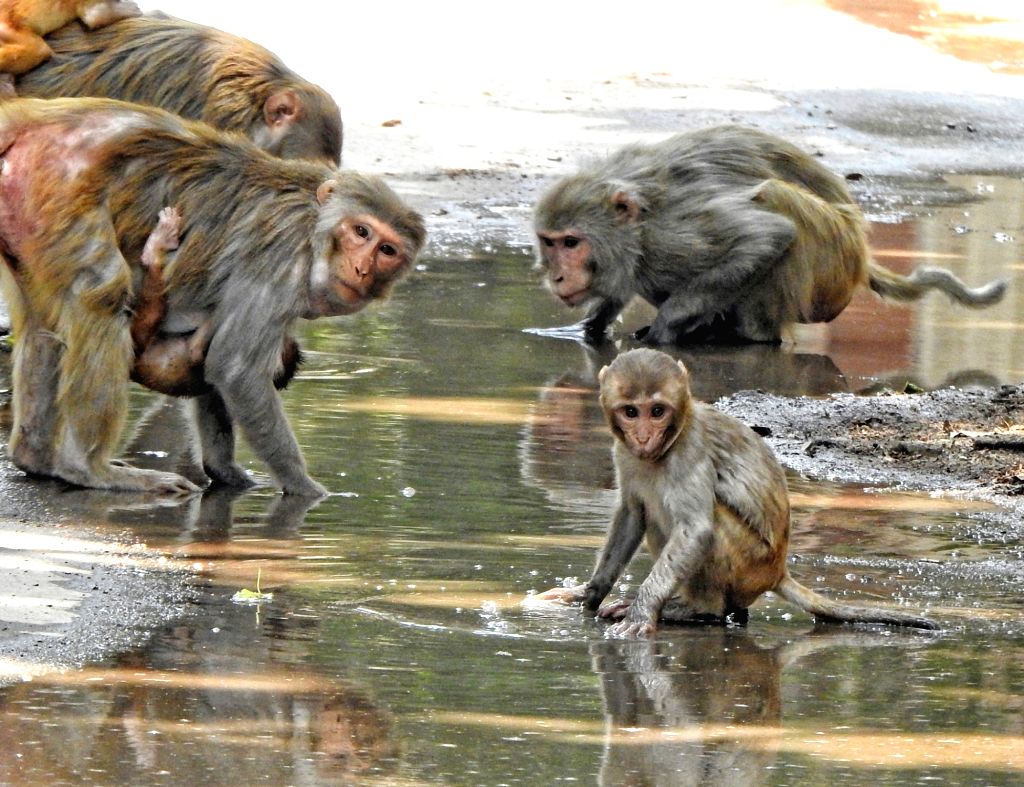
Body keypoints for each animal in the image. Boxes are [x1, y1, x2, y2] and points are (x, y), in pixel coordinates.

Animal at [533, 125, 1007, 344]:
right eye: (550, 242)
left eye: (572, 243)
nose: (556, 276)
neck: (638, 230)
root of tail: (861, 255)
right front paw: (589, 328)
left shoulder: (676, 232)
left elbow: (766, 236)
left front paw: (664, 331)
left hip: (830, 267)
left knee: (777, 202)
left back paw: (748, 335)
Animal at [535, 348, 938, 637]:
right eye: (631, 412)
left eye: (658, 411)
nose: (645, 437)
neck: (669, 443)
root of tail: (777, 572)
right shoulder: (623, 454)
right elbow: (632, 515)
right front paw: (590, 594)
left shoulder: (690, 452)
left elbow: (696, 530)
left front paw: (643, 610)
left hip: (750, 566)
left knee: (707, 524)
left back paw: (698, 610)